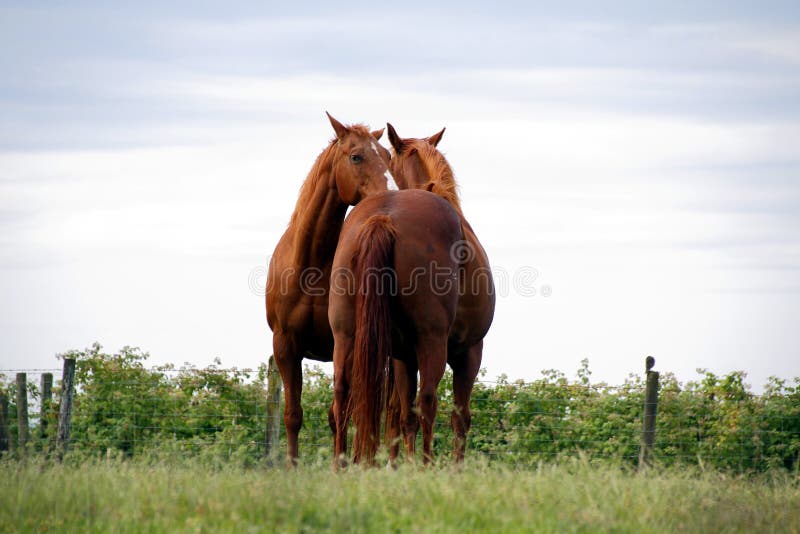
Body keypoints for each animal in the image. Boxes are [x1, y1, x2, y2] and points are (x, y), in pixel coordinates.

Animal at [266, 112, 394, 464]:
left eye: (388, 155)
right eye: (356, 156)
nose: (392, 193)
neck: (310, 265)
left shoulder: (344, 342)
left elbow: (341, 412)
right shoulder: (285, 345)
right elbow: (293, 415)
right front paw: (292, 467)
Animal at [328, 188, 464, 466]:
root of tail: (383, 218)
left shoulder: (402, 357)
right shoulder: (470, 350)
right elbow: (459, 417)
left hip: (345, 336)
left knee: (342, 394)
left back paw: (342, 464)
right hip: (431, 340)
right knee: (427, 400)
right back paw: (425, 464)